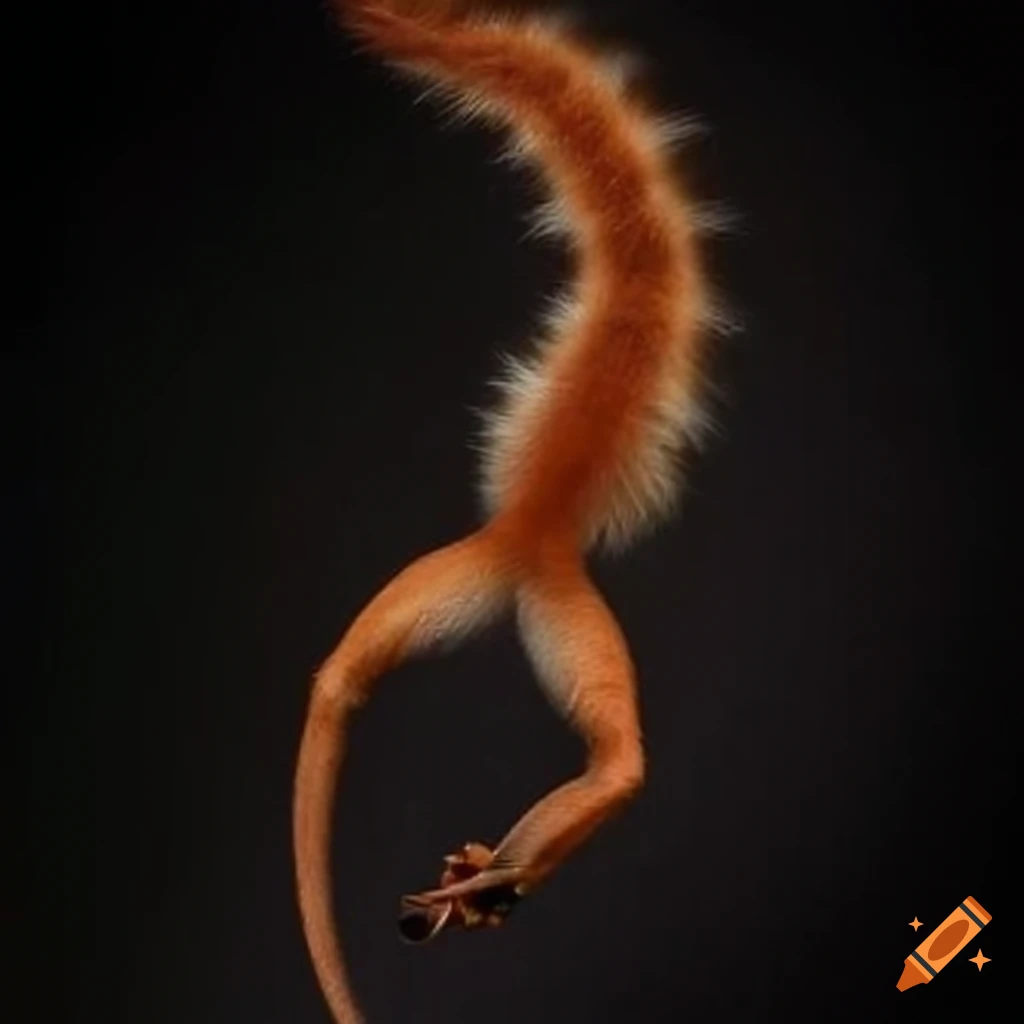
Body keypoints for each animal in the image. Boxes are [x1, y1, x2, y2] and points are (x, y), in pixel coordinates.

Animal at [293, 1, 732, 1020]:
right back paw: (499, 876)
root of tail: (527, 533)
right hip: (536, 593)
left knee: (341, 680)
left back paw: (494, 878)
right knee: (616, 761)